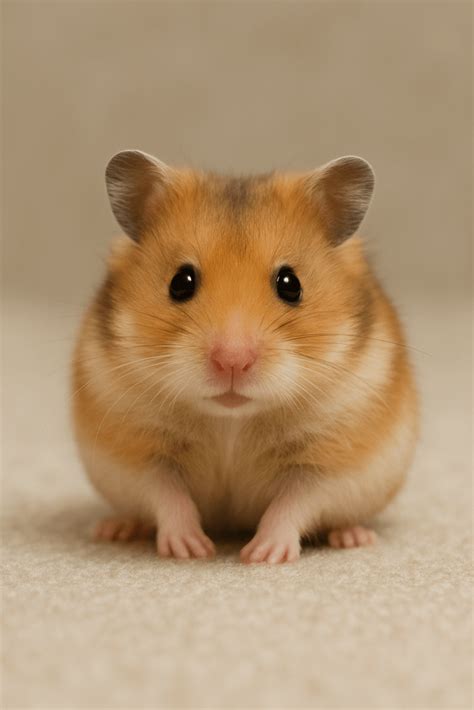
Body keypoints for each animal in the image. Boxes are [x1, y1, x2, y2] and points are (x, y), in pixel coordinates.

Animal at [72, 150, 418, 563]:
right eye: (180, 282)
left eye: (291, 284)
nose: (232, 361)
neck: (231, 419)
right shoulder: (138, 450)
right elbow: (167, 495)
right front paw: (191, 550)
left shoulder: (331, 459)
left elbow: (294, 503)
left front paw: (262, 555)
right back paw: (115, 529)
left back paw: (354, 537)